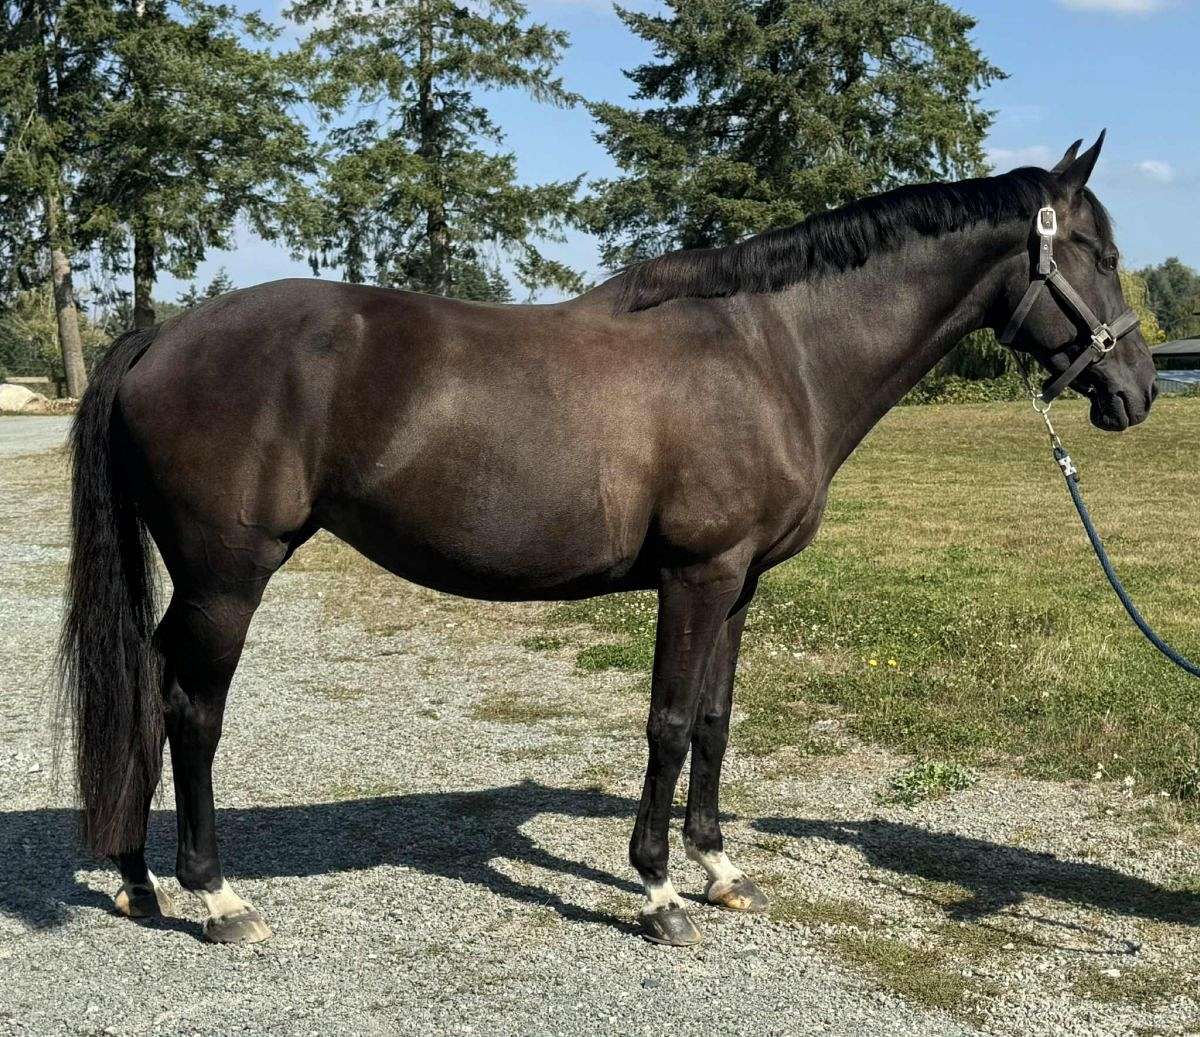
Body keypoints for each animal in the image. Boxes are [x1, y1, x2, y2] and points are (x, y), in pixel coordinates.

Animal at [58, 132, 1157, 947]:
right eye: (1101, 257)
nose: (1138, 391)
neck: (776, 354)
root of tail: (163, 335)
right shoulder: (696, 577)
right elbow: (667, 723)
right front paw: (658, 891)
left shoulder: (740, 584)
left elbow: (714, 720)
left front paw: (719, 868)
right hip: (227, 576)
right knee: (194, 708)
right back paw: (213, 896)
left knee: (150, 683)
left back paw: (138, 877)